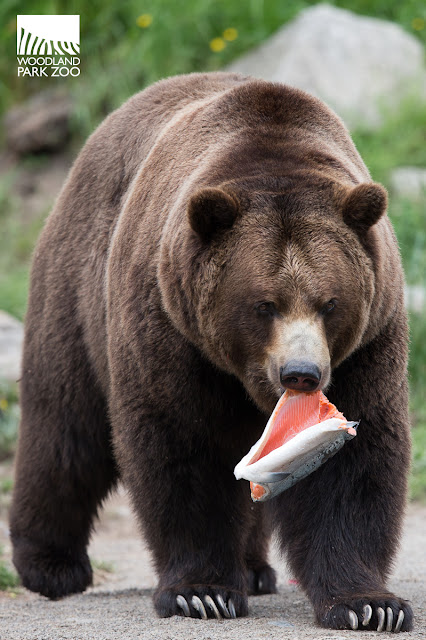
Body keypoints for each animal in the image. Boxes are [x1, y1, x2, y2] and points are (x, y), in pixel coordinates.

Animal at [10, 72, 413, 632]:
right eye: (264, 304)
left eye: (331, 302)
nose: (301, 374)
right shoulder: (169, 328)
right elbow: (182, 448)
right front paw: (200, 593)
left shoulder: (365, 346)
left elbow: (352, 465)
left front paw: (370, 604)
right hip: (78, 286)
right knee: (66, 428)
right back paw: (51, 565)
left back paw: (256, 568)